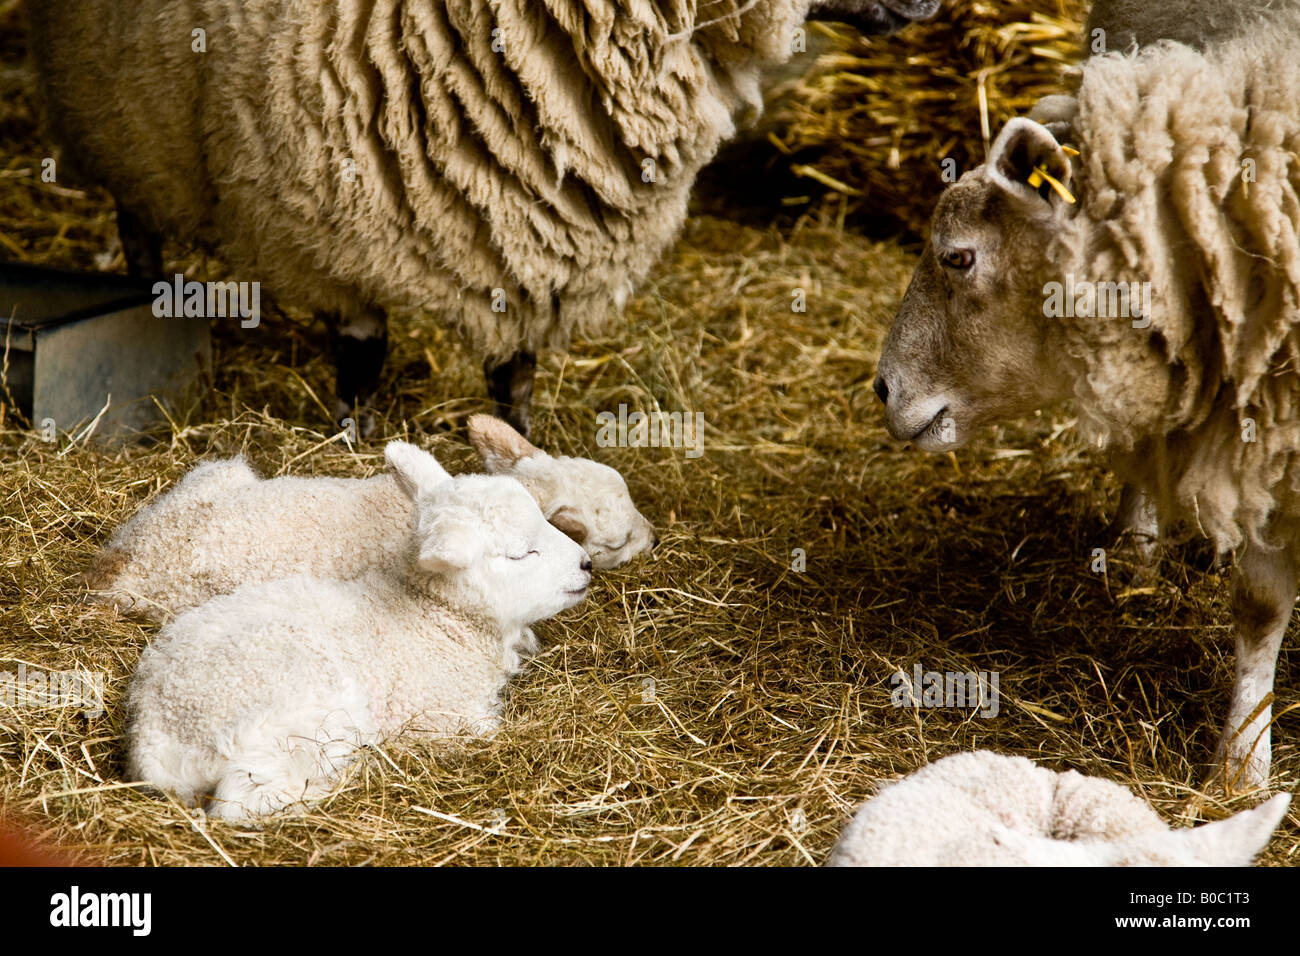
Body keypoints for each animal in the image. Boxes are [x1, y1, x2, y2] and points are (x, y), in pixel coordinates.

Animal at [26, 0, 938, 435]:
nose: (932, 1)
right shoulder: (328, 218)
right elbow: (362, 350)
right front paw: (351, 438)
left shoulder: (536, 228)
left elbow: (516, 370)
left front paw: (523, 445)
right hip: (117, 115)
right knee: (137, 221)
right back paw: (149, 296)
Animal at [126, 439, 593, 821]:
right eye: (520, 554)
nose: (586, 564)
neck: (438, 620)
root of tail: (156, 740)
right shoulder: (446, 717)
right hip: (292, 726)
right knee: (239, 803)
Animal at [872, 3, 1300, 792]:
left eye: (958, 256)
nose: (883, 387)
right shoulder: (1260, 436)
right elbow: (1259, 605)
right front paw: (1239, 771)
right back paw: (1134, 553)